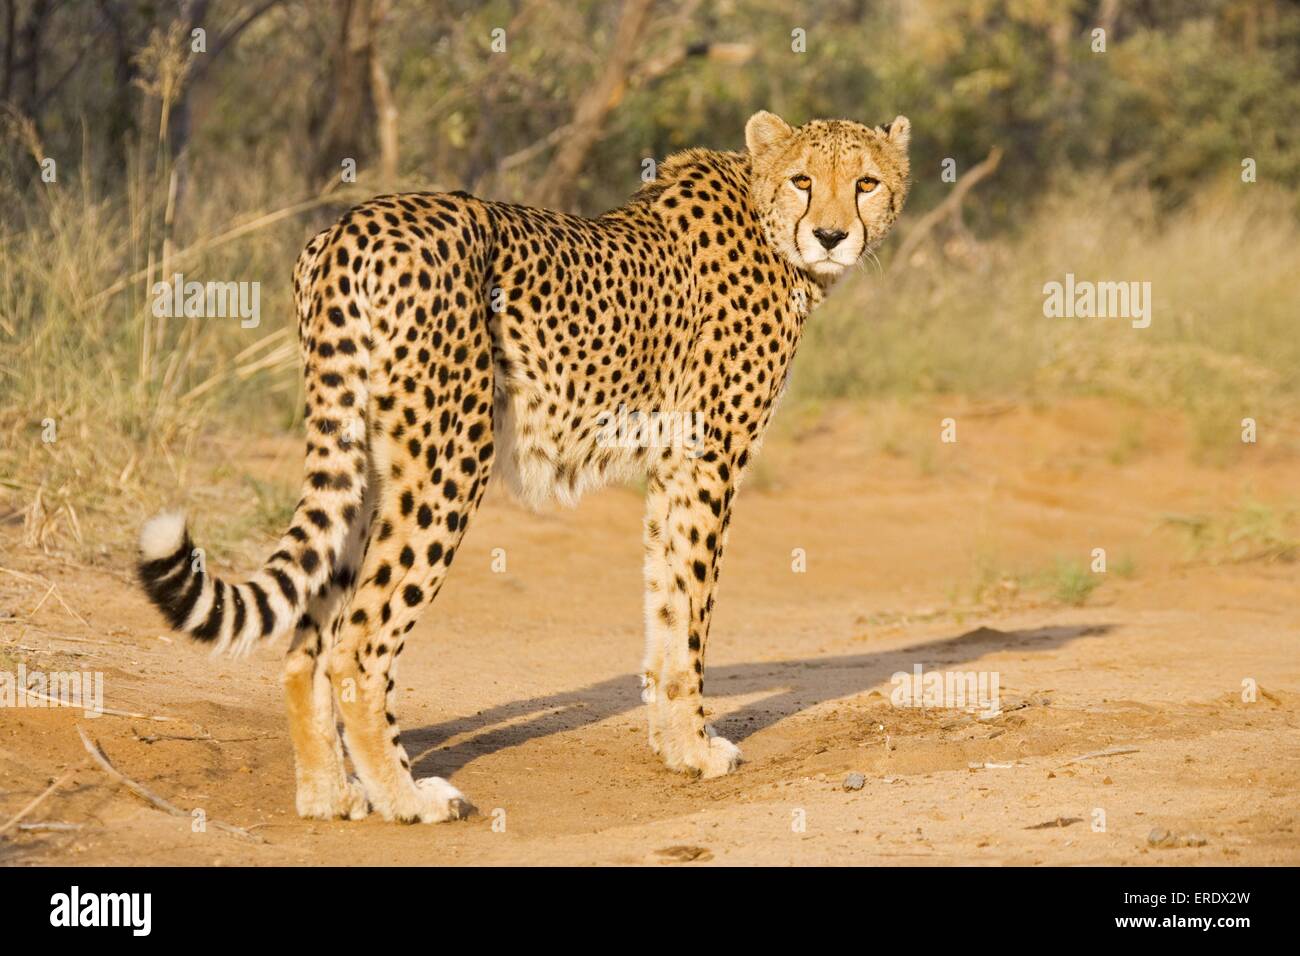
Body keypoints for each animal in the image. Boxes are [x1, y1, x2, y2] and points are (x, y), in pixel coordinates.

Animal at [136, 110, 911, 823]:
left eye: (866, 183)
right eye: (804, 180)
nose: (833, 236)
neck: (767, 221)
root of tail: (357, 222)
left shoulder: (672, 472)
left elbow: (665, 605)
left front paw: (675, 746)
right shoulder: (707, 462)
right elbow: (692, 613)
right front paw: (696, 748)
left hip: (367, 463)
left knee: (307, 638)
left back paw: (331, 794)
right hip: (451, 457)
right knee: (357, 643)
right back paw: (406, 798)